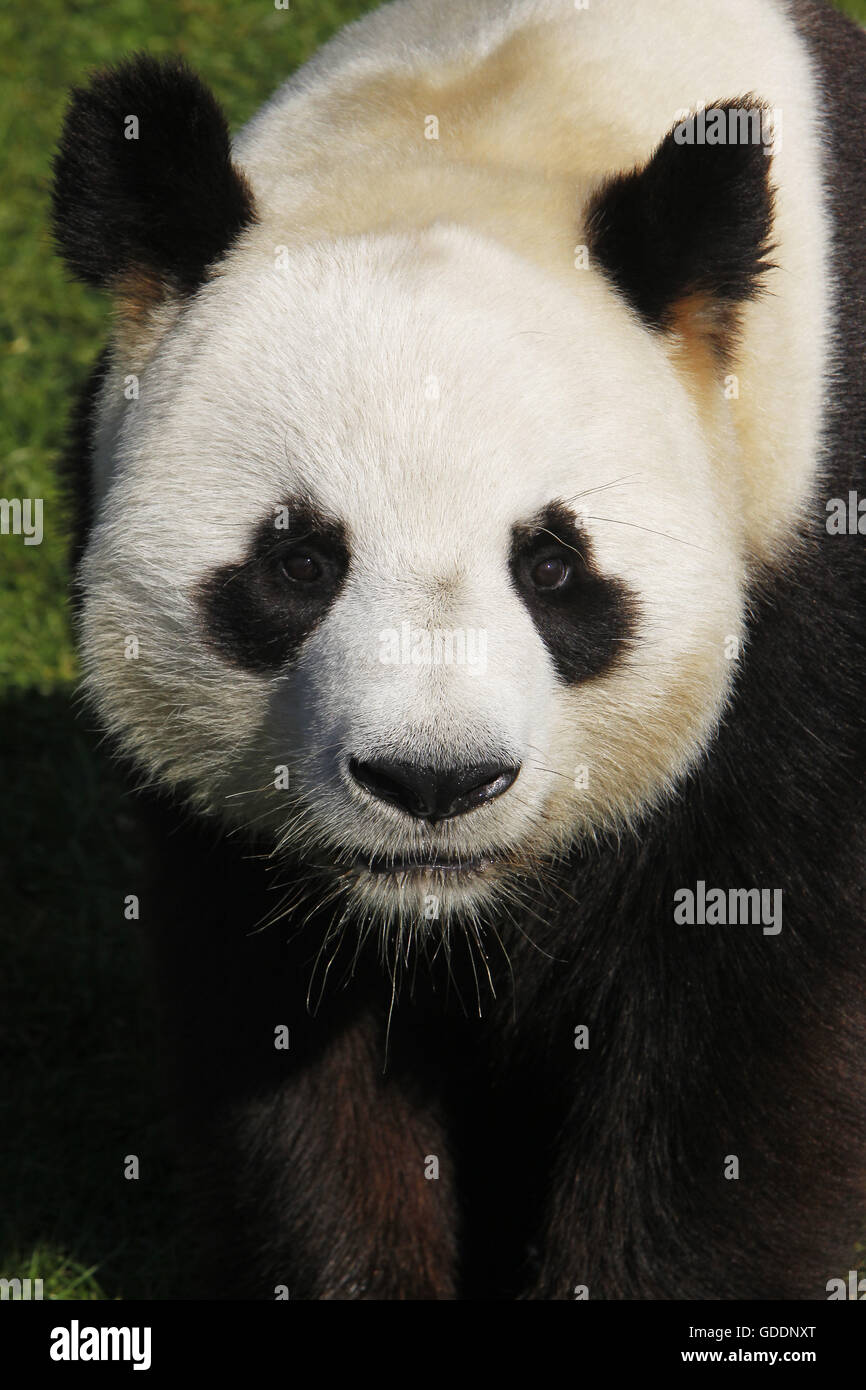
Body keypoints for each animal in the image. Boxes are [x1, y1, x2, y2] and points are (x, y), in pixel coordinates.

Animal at [51, 0, 866, 1300]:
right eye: (299, 562)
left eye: (551, 566)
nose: (432, 781)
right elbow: (287, 1051)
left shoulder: (804, 596)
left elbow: (737, 1053)